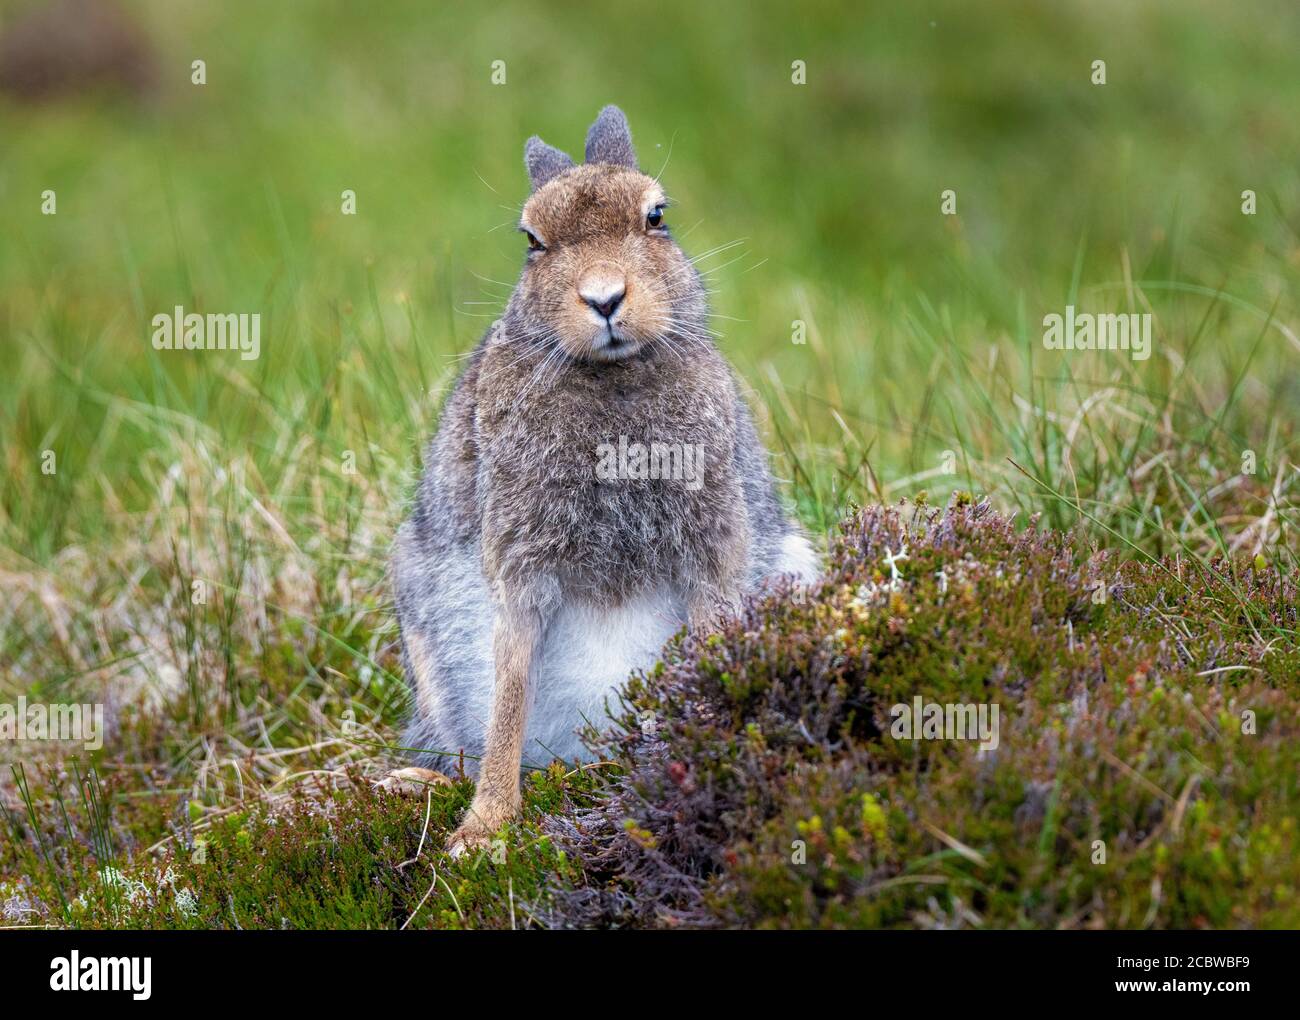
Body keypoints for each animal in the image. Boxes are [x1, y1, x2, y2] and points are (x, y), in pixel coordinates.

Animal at [384, 105, 818, 854]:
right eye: (533, 242)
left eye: (657, 217)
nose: (605, 296)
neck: (613, 376)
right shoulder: (520, 560)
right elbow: (510, 693)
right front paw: (483, 833)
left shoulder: (714, 550)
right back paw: (415, 784)